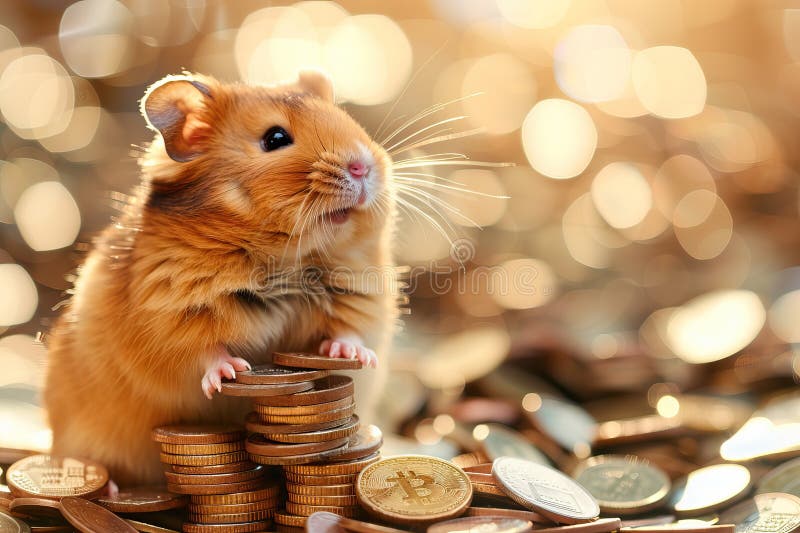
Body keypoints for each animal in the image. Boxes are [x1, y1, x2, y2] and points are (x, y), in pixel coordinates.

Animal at [43, 70, 398, 486]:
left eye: (346, 119)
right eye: (275, 138)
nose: (362, 167)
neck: (287, 256)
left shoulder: (359, 296)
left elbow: (349, 329)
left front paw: (353, 355)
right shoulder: (168, 320)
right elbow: (204, 352)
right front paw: (233, 372)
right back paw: (109, 487)